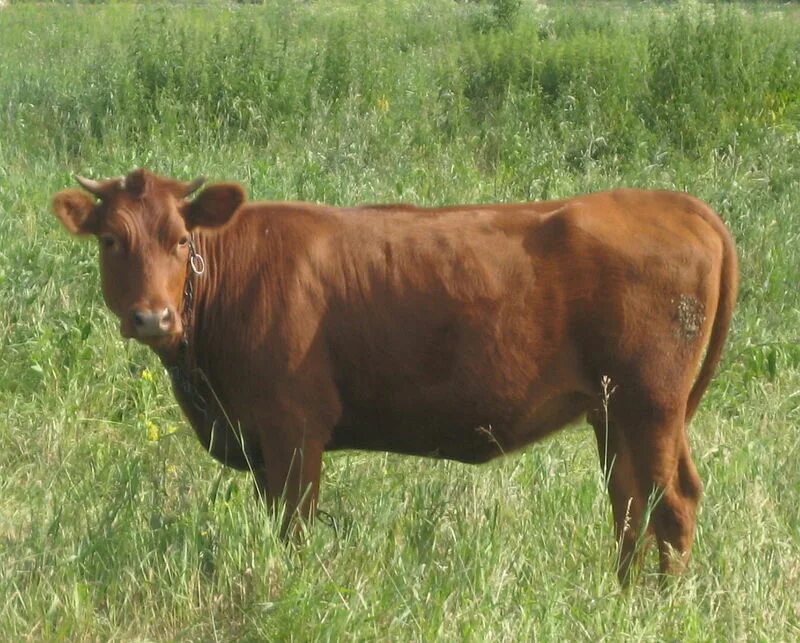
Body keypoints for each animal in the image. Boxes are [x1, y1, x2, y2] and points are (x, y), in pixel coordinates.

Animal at [50, 170, 736, 584]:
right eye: (111, 240)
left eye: (178, 238)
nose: (151, 317)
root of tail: (672, 202)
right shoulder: (262, 443)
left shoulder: (294, 431)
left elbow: (294, 529)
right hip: (615, 411)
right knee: (632, 502)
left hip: (649, 404)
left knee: (670, 504)